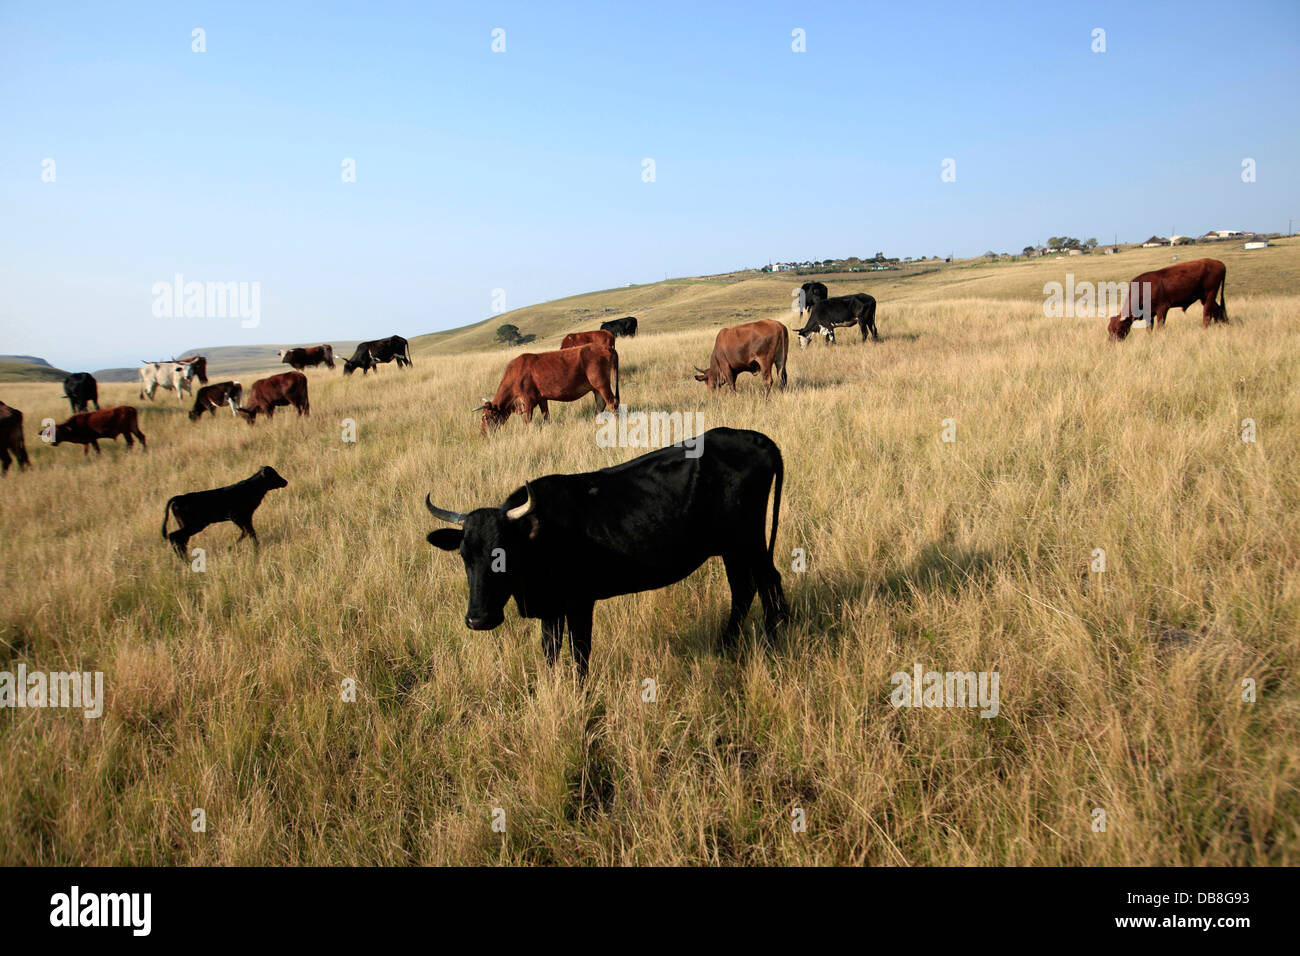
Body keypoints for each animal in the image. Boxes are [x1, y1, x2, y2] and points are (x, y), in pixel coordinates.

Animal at [425, 427, 788, 679]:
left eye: (504, 553)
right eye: (464, 556)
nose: (478, 619)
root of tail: (755, 438)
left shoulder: (579, 602)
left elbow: (580, 653)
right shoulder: (551, 607)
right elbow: (550, 651)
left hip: (748, 540)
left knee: (765, 582)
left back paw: (773, 642)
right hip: (732, 548)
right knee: (746, 588)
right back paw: (729, 645)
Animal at [478, 345, 619, 434]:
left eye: (486, 417)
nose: (483, 433)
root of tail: (606, 347)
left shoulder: (528, 401)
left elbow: (527, 420)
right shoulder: (542, 398)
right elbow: (546, 417)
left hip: (601, 384)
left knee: (612, 403)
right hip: (596, 388)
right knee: (600, 405)